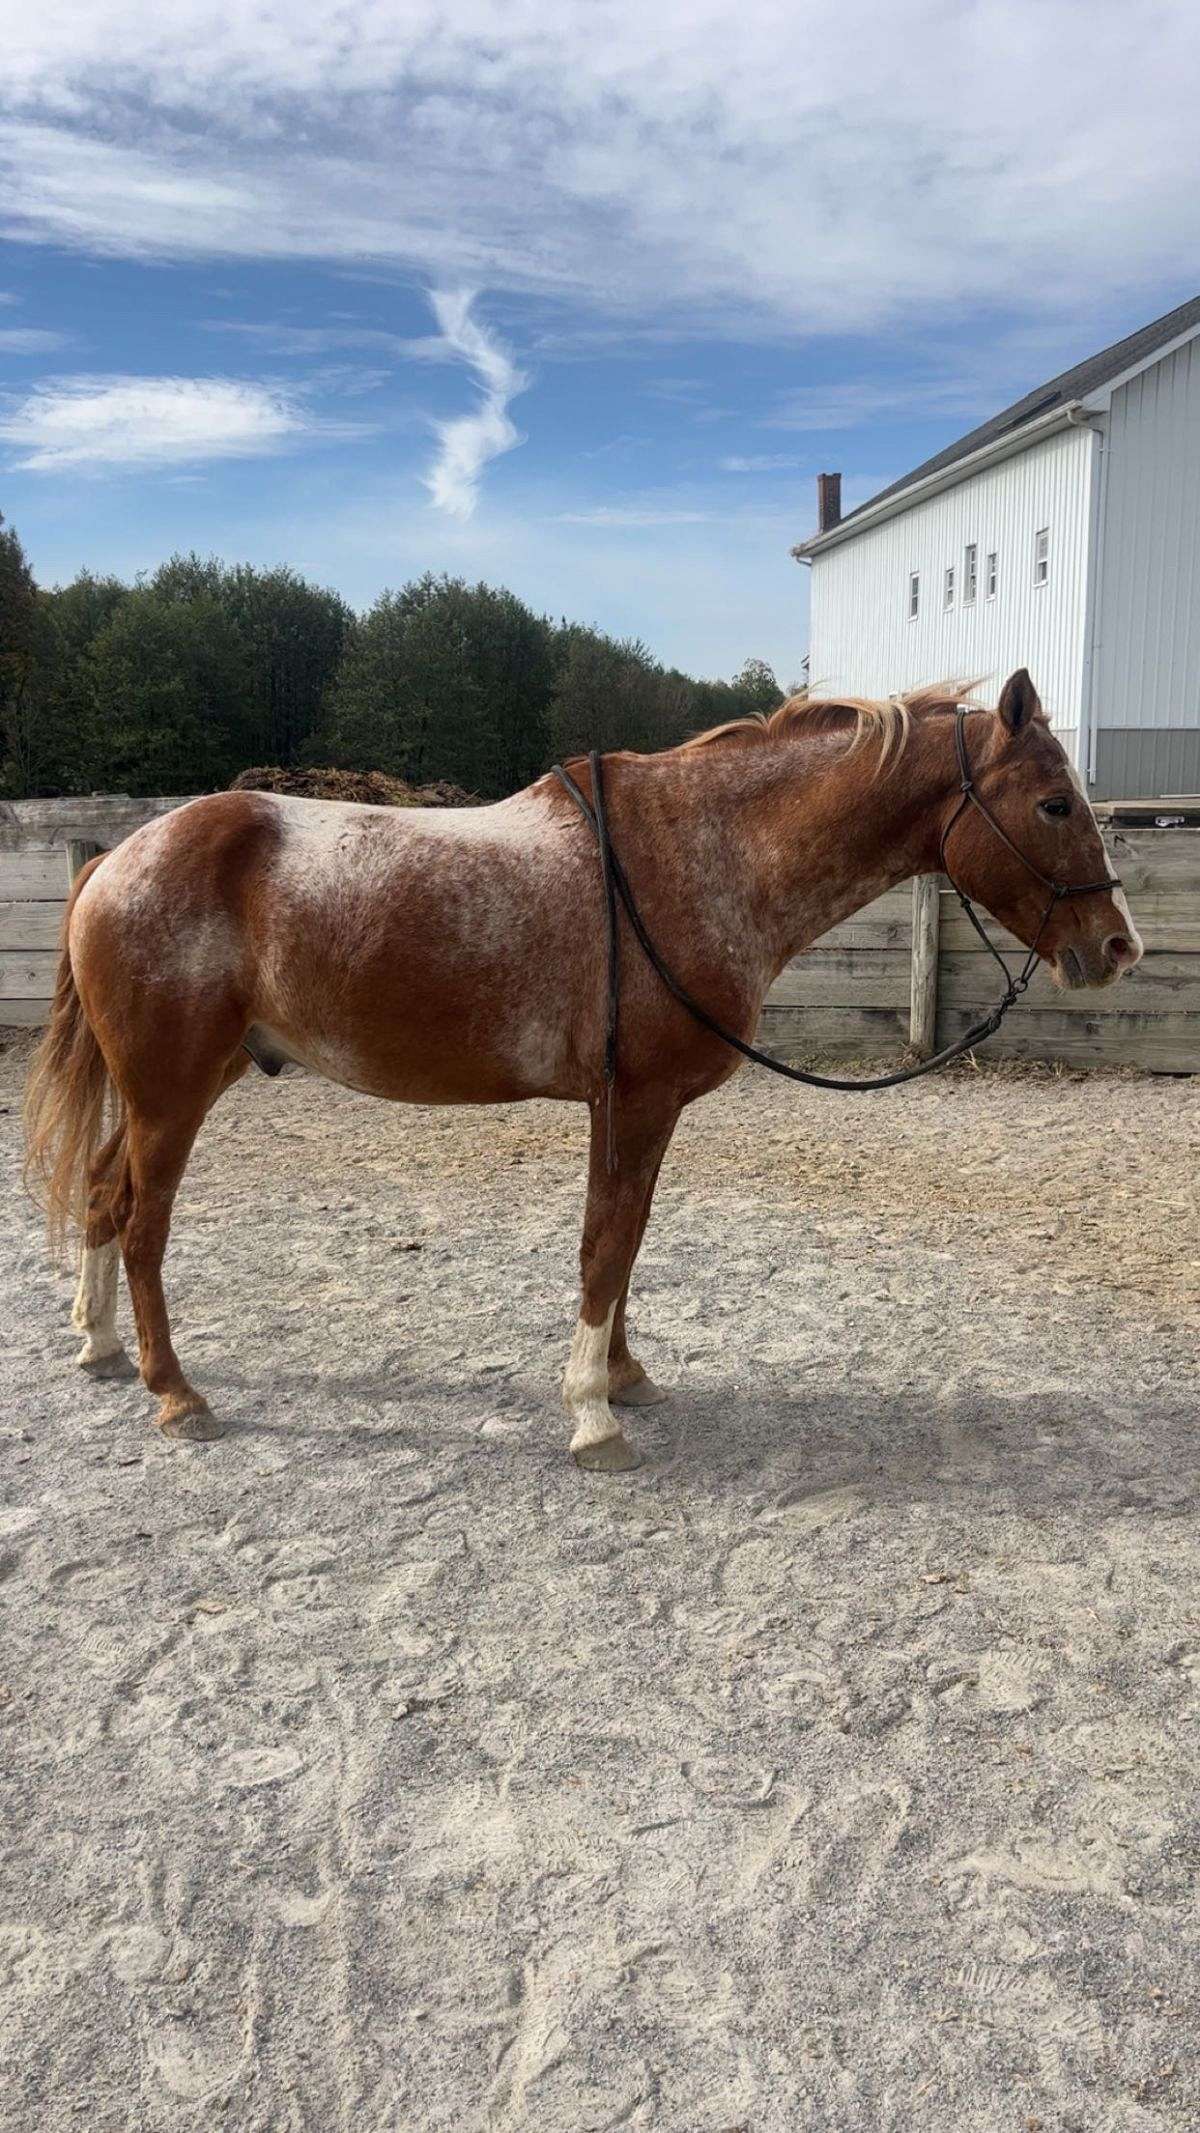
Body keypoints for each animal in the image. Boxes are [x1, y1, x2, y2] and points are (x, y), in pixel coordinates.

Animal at [24, 668, 1141, 1470]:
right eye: (1053, 804)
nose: (1119, 947)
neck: (695, 856)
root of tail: (119, 858)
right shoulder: (637, 1102)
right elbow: (606, 1250)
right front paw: (594, 1418)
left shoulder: (630, 1110)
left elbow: (626, 1243)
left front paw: (625, 1373)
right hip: (172, 1092)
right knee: (141, 1222)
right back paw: (177, 1394)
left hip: (186, 1081)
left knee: (103, 1195)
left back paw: (102, 1347)